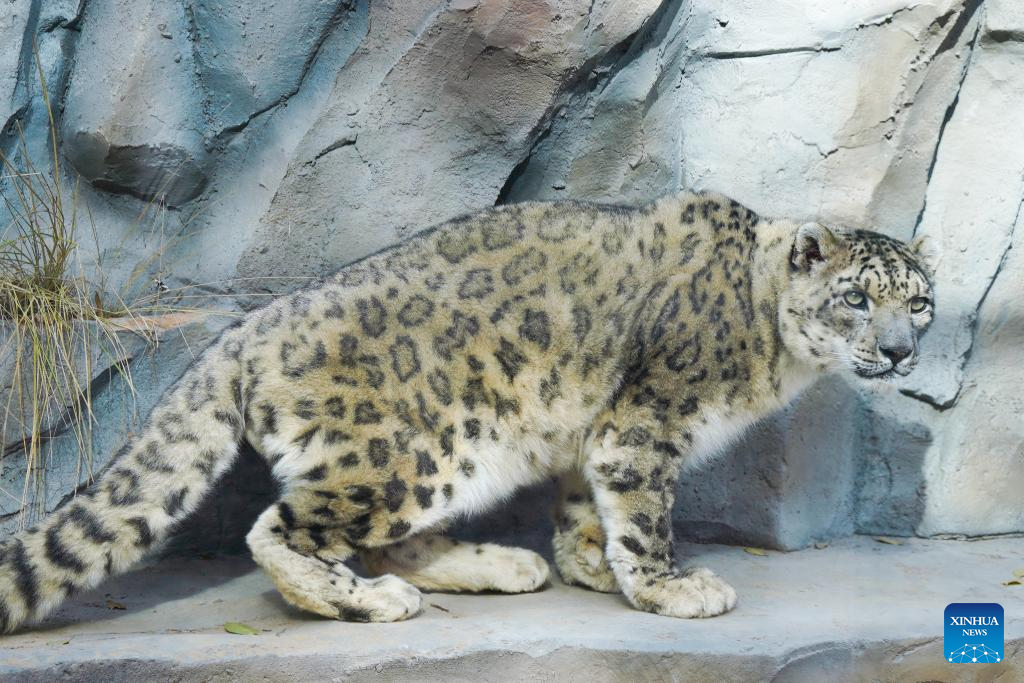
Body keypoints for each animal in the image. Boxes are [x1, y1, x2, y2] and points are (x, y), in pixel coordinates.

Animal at [0, 190, 935, 631]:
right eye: (856, 297)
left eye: (919, 301)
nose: (899, 352)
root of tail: (247, 328)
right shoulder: (646, 423)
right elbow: (642, 514)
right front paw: (671, 587)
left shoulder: (593, 433)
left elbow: (584, 509)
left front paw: (589, 566)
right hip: (403, 456)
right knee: (283, 529)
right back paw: (370, 601)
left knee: (390, 540)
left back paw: (499, 563)